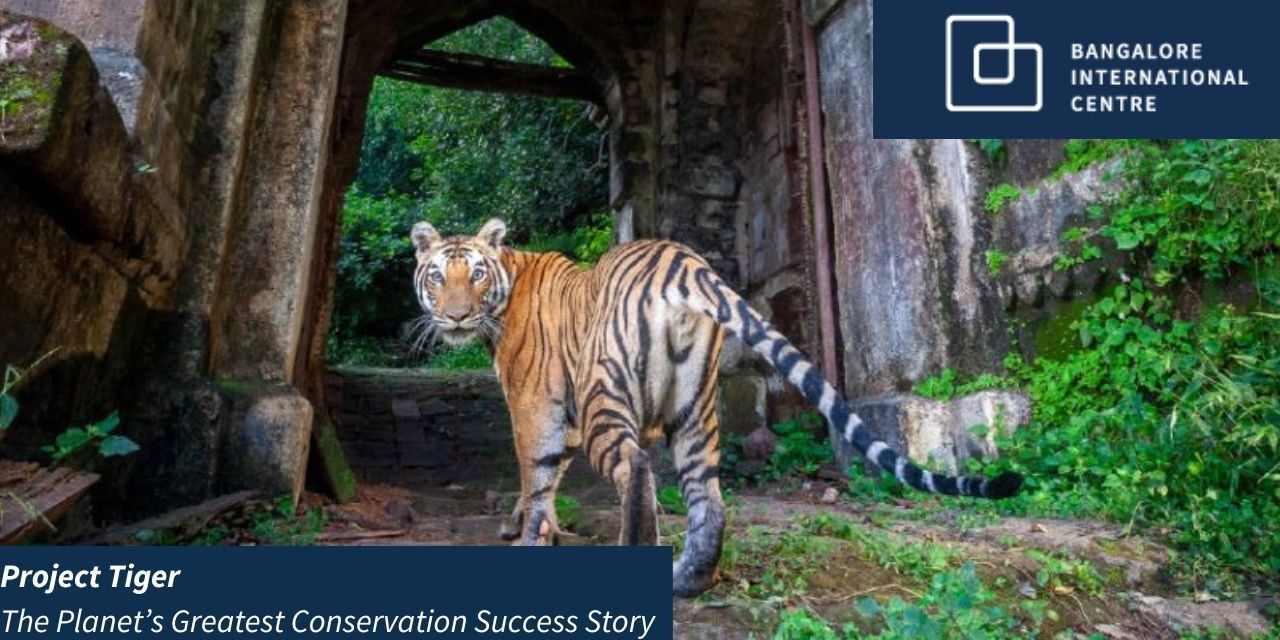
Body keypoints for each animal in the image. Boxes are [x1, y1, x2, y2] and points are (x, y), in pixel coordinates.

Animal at [409, 218, 1023, 596]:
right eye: (438, 275)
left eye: (475, 273)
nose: (456, 316)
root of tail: (684, 264)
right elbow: (550, 478)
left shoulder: (535, 406)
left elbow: (534, 476)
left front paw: (529, 533)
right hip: (694, 410)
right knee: (709, 497)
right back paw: (689, 579)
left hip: (608, 391)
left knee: (636, 471)